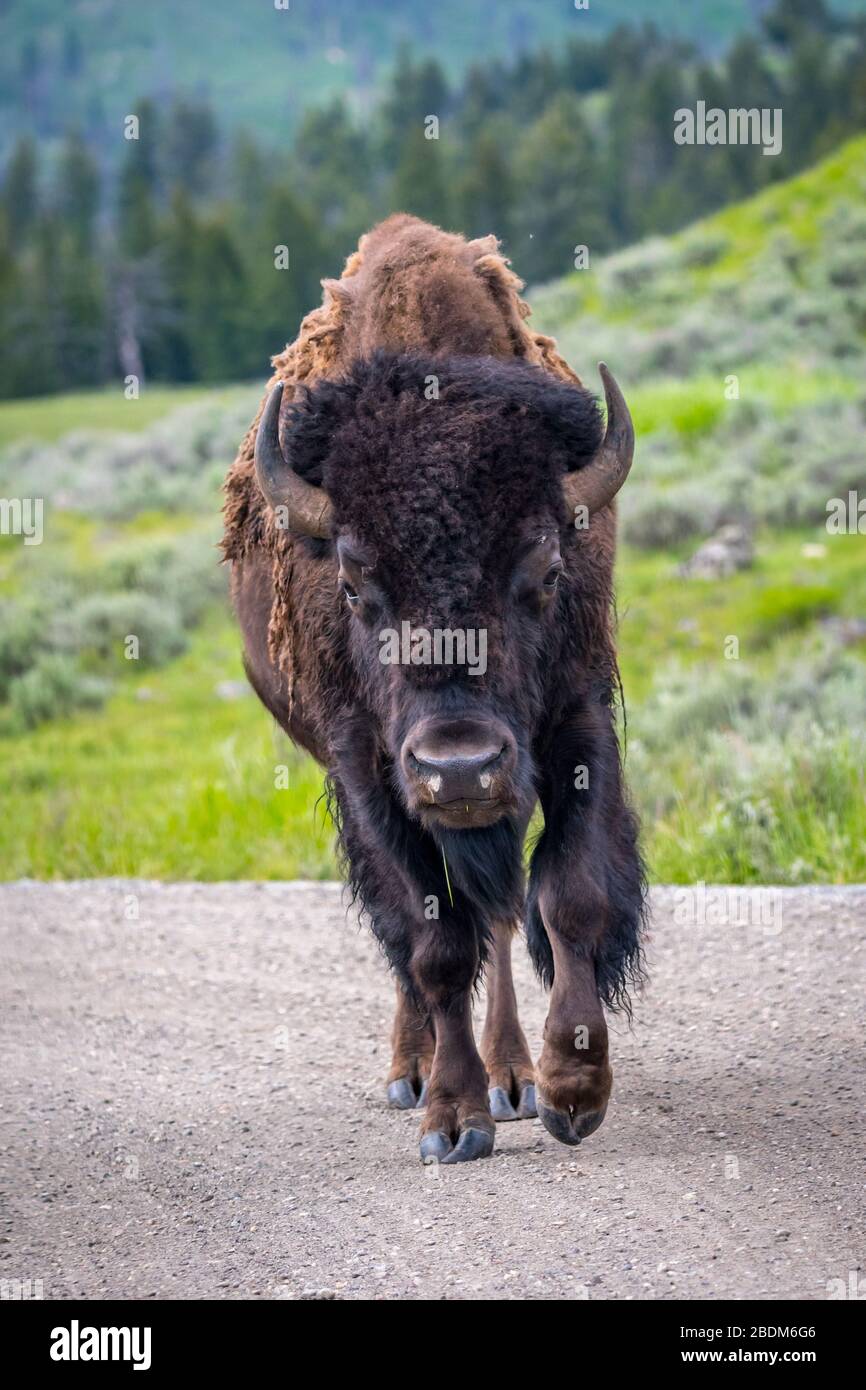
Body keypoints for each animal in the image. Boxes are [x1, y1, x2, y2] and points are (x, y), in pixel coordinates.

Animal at [223, 214, 645, 1164]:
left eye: (546, 571)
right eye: (352, 584)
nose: (459, 768)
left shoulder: (572, 724)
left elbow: (567, 896)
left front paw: (572, 1088)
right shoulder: (364, 767)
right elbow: (432, 942)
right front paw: (452, 1121)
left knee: (498, 914)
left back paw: (514, 1077)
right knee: (419, 937)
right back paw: (414, 1073)